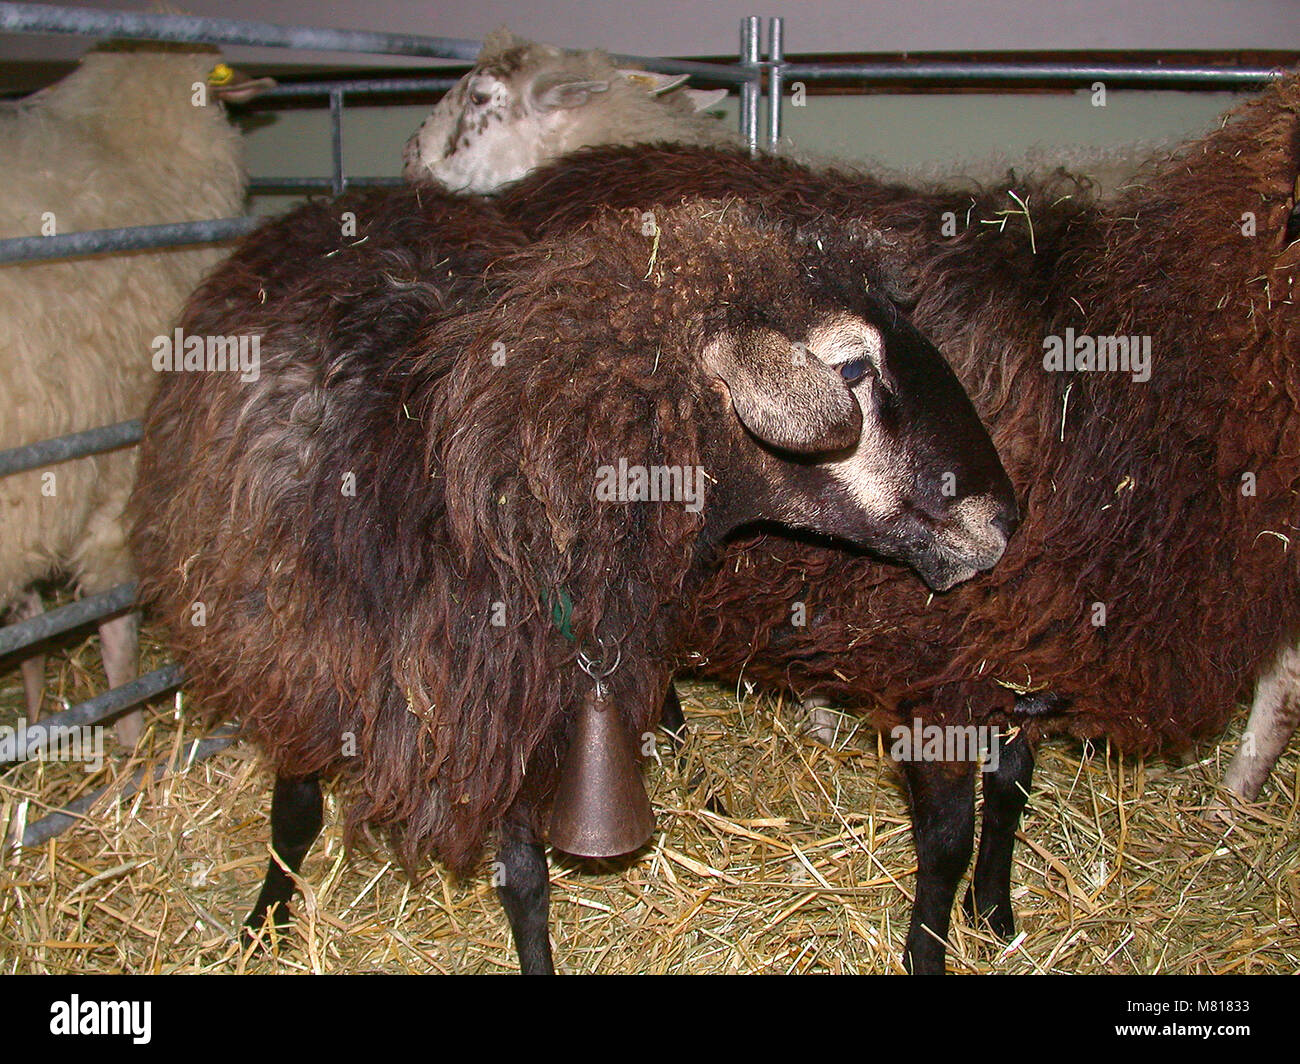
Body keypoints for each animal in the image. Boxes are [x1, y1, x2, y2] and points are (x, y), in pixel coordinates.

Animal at [127, 180, 1018, 973]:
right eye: (854, 370)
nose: (1004, 521)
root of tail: (337, 199)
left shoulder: (530, 700)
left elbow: (524, 881)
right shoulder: (298, 662)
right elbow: (295, 813)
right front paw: (261, 924)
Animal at [492, 74, 1300, 972]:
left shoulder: (1018, 660)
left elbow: (1011, 790)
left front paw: (997, 915)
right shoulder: (934, 666)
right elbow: (946, 839)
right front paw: (929, 950)